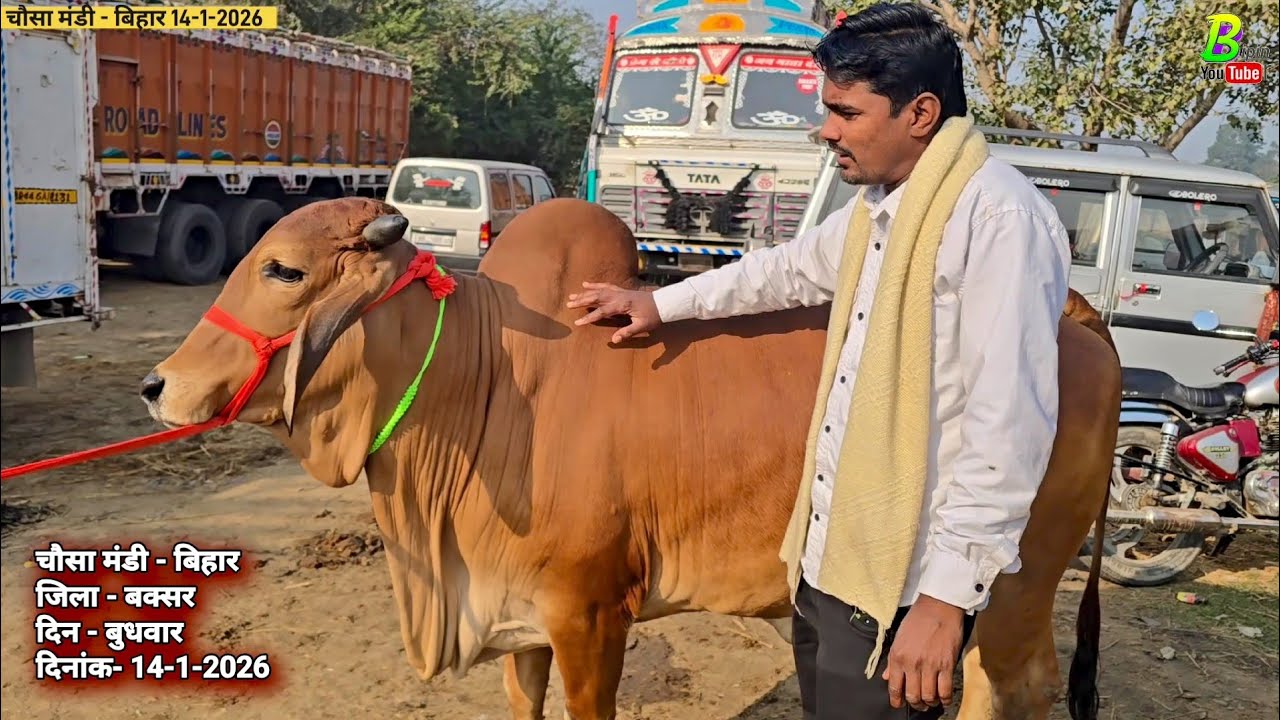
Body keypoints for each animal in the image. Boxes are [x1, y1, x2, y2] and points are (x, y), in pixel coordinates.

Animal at [140, 197, 1119, 720]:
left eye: (283, 270)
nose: (158, 386)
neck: (481, 385)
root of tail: (1070, 314)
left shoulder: (590, 615)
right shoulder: (522, 619)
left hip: (1008, 588)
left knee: (1010, 687)